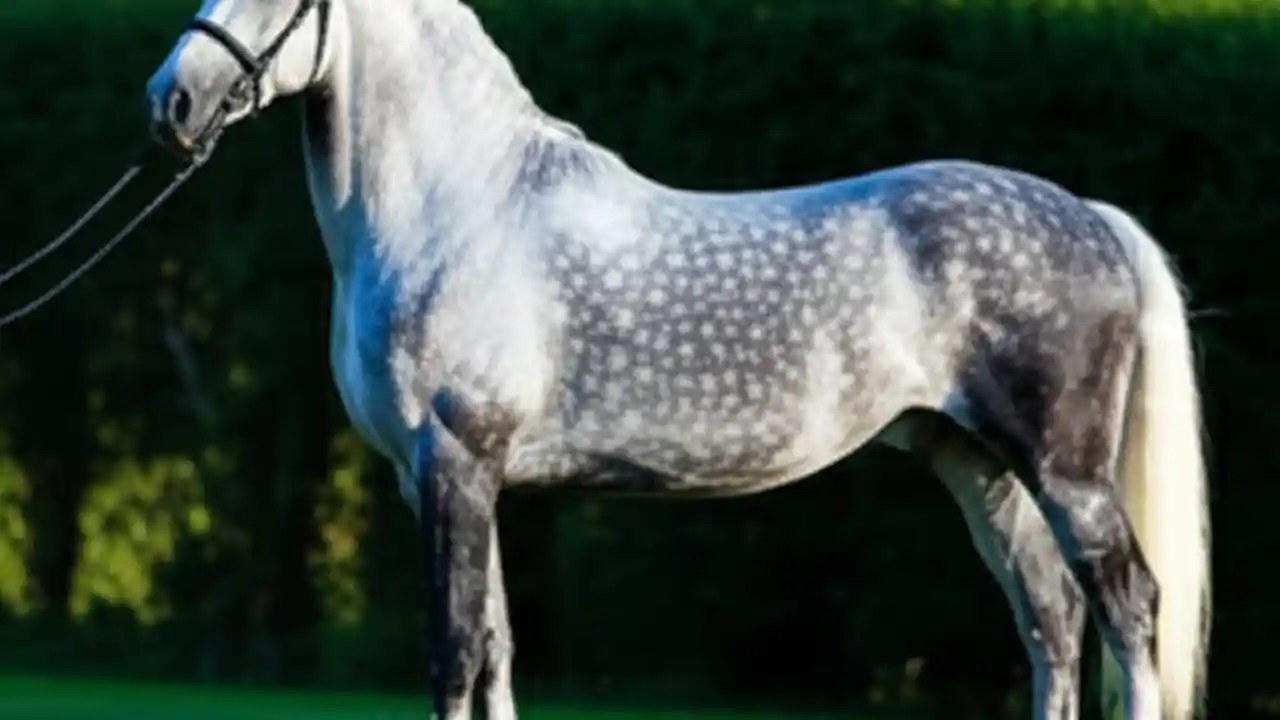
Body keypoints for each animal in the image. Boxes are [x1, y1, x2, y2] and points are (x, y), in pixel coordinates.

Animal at [143, 1, 1211, 718]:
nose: (172, 101)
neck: (463, 202)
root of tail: (1092, 218)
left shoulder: (455, 462)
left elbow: (453, 652)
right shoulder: (457, 479)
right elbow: (495, 647)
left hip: (1066, 475)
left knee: (1128, 608)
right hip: (978, 465)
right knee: (1051, 623)